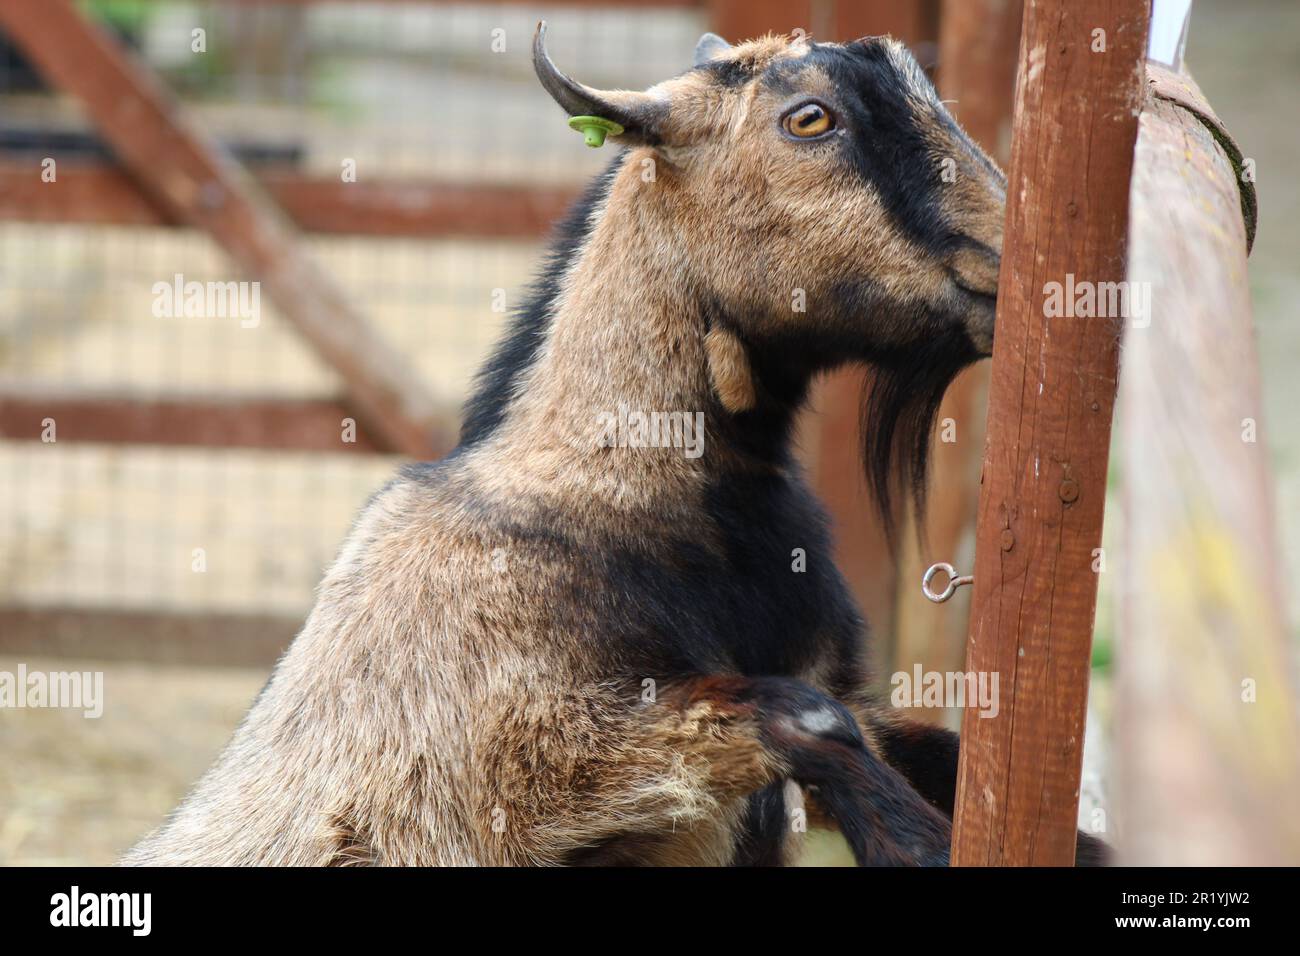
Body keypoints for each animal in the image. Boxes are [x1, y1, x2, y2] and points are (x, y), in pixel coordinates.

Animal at [123, 24, 1107, 866]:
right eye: (810, 117)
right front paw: (922, 842)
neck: (619, 488)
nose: (1017, 268)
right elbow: (804, 716)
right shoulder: (528, 763)